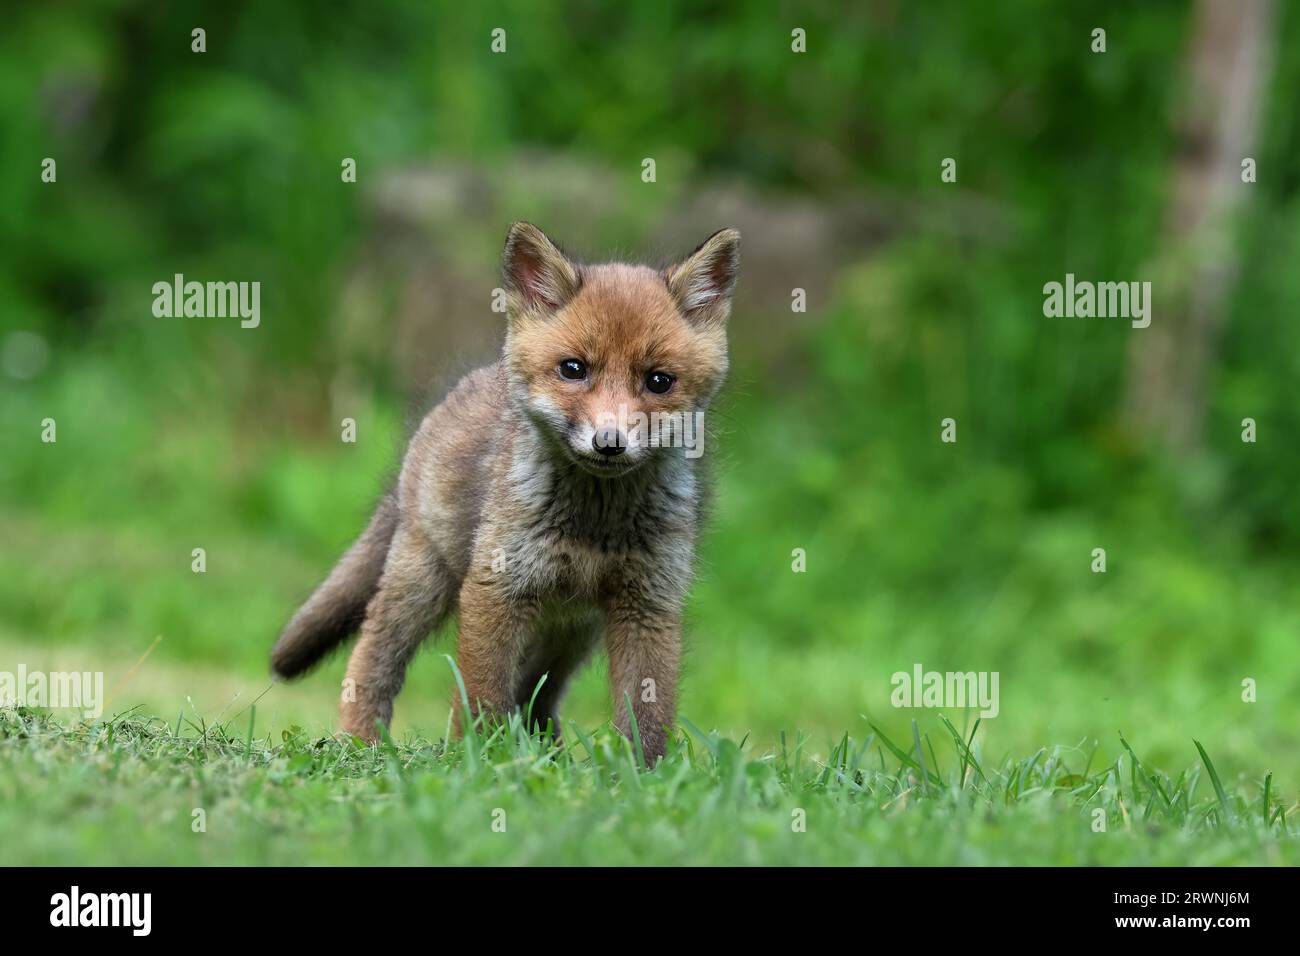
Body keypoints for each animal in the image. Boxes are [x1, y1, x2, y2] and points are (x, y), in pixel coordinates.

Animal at [270, 221, 740, 762]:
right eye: (573, 369)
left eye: (659, 381)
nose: (609, 442)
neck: (594, 524)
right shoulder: (497, 588)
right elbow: (482, 694)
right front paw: (479, 760)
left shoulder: (649, 603)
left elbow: (647, 713)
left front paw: (641, 774)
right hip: (422, 582)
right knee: (372, 658)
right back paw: (361, 742)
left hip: (569, 633)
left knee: (538, 698)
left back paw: (551, 758)